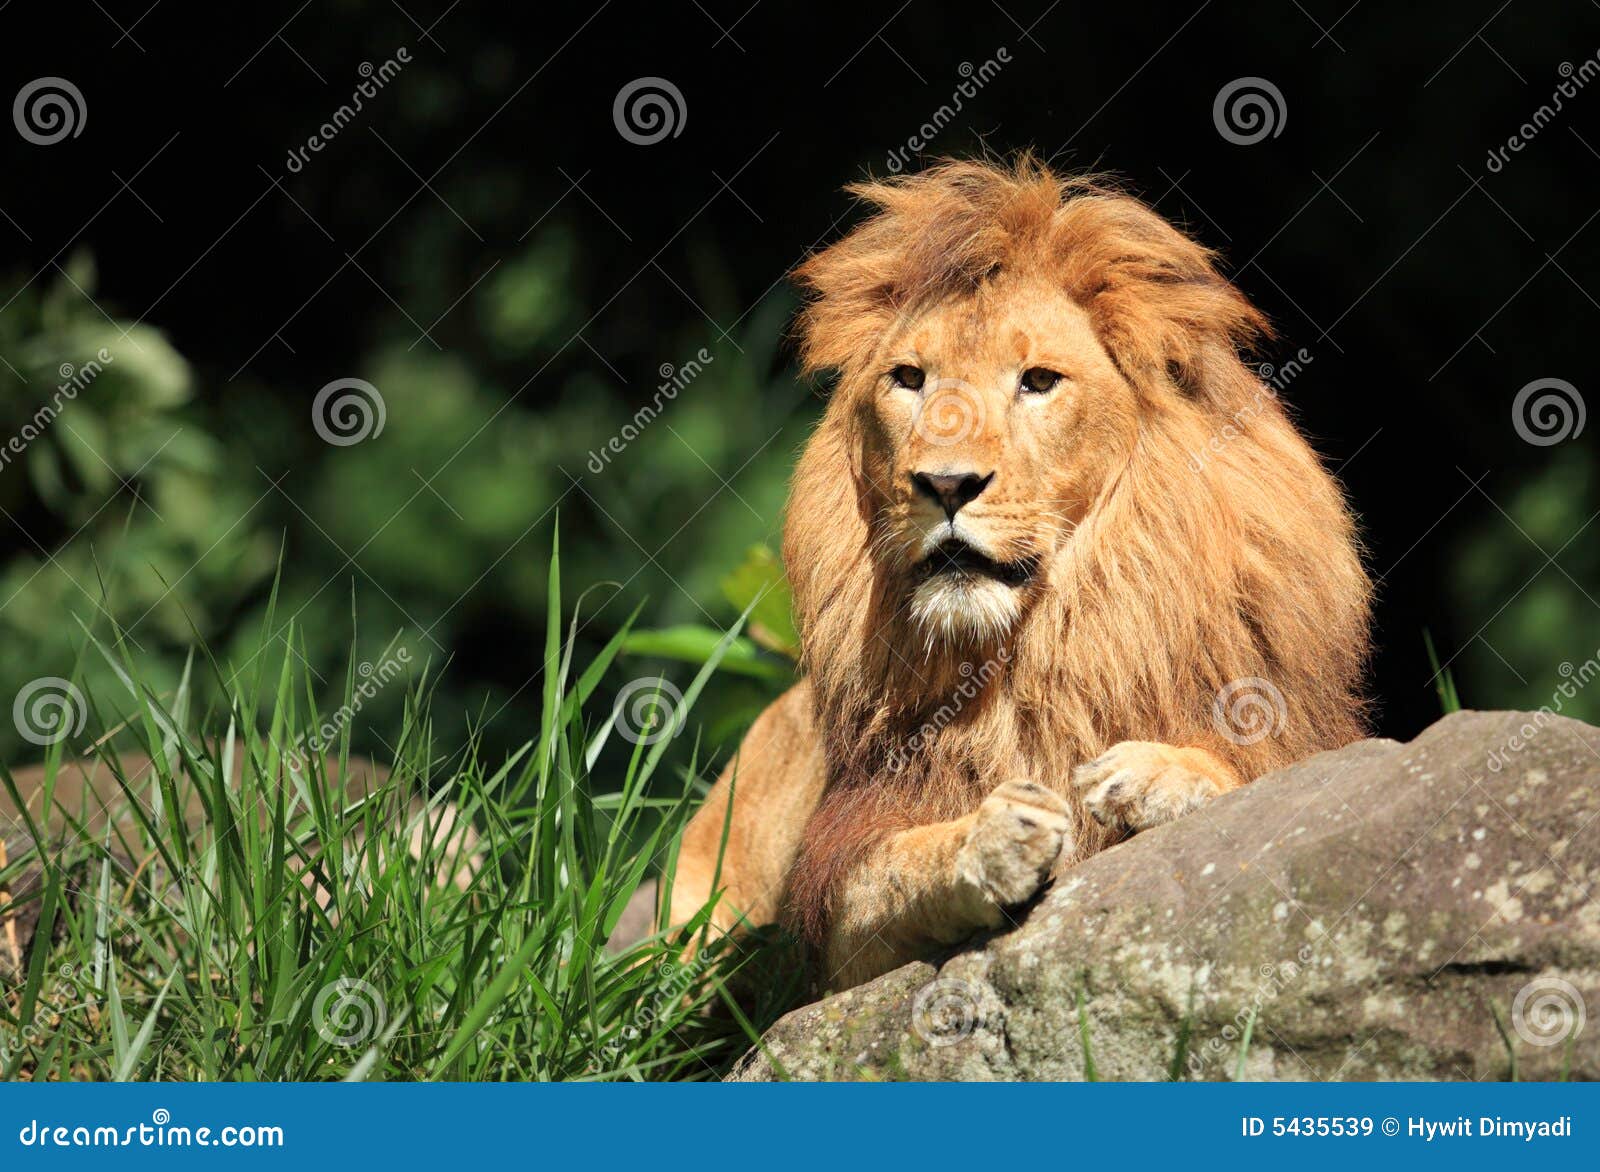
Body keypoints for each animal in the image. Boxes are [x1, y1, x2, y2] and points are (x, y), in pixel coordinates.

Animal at [666, 156, 1371, 992]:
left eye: (1037, 381)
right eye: (909, 378)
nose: (945, 483)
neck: (1041, 648)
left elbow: (1260, 771)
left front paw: (1153, 773)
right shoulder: (837, 903)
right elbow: (892, 870)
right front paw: (994, 836)